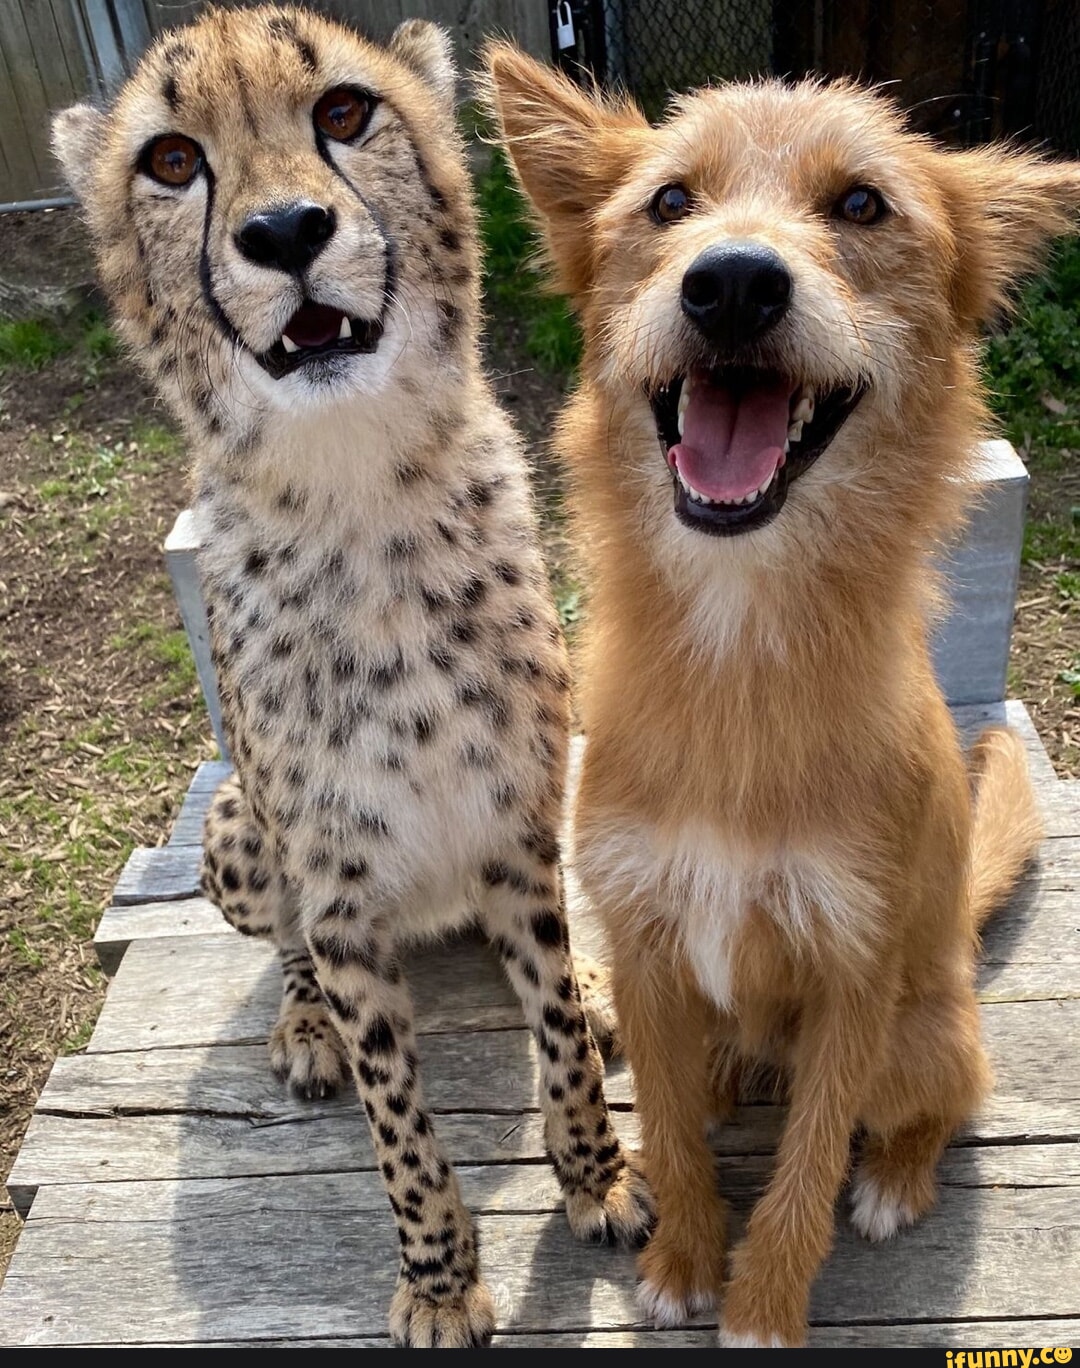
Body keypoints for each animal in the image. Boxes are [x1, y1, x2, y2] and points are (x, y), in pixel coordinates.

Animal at [52, 6, 653, 1347]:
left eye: (342, 111)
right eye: (171, 160)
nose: (285, 231)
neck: (357, 486)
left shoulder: (514, 818)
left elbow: (556, 1035)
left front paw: (596, 1176)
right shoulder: (330, 883)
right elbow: (400, 1126)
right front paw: (437, 1280)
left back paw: (594, 983)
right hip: (235, 827)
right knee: (283, 946)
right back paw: (304, 1021)